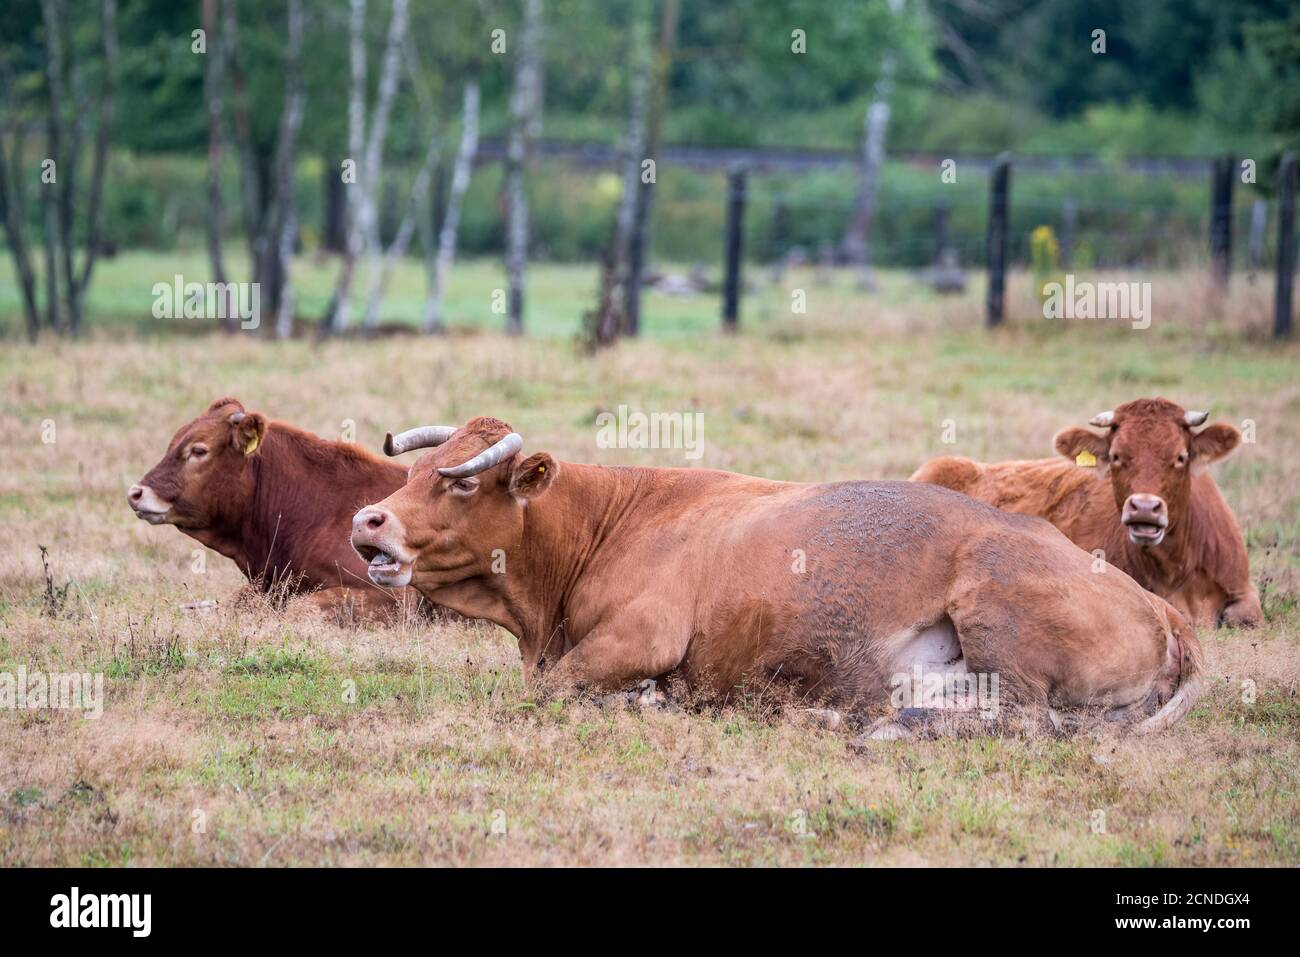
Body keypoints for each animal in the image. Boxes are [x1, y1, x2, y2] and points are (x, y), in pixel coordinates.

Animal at [349, 416, 1204, 737]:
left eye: (462, 483)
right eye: (418, 468)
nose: (369, 520)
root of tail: (1165, 611)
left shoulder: (640, 637)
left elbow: (560, 687)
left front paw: (647, 698)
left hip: (996, 604)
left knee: (1021, 718)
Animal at [909, 398, 1262, 630]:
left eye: (1180, 457)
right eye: (1117, 456)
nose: (1144, 507)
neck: (1178, 566)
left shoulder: (1243, 588)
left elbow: (1244, 617)